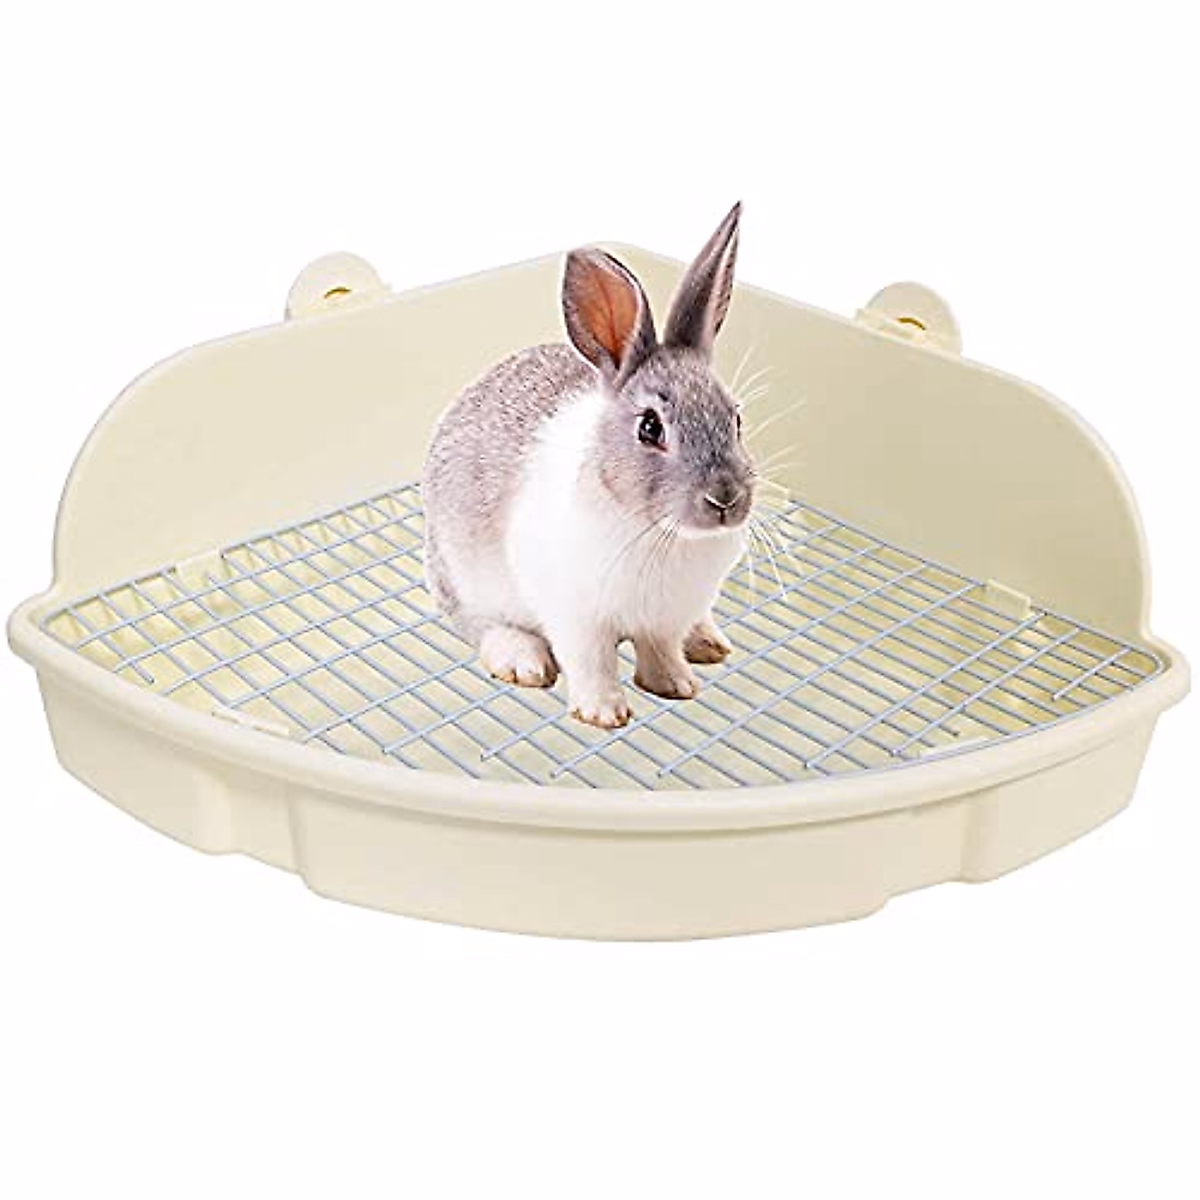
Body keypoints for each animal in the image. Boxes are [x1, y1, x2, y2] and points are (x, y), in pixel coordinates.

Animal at [422, 203, 755, 729]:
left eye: (736, 418)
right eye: (649, 428)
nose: (725, 499)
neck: (659, 532)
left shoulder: (664, 619)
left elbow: (660, 650)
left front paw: (676, 685)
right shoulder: (576, 617)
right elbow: (591, 661)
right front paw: (603, 713)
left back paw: (707, 641)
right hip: (463, 577)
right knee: (479, 624)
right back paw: (523, 660)